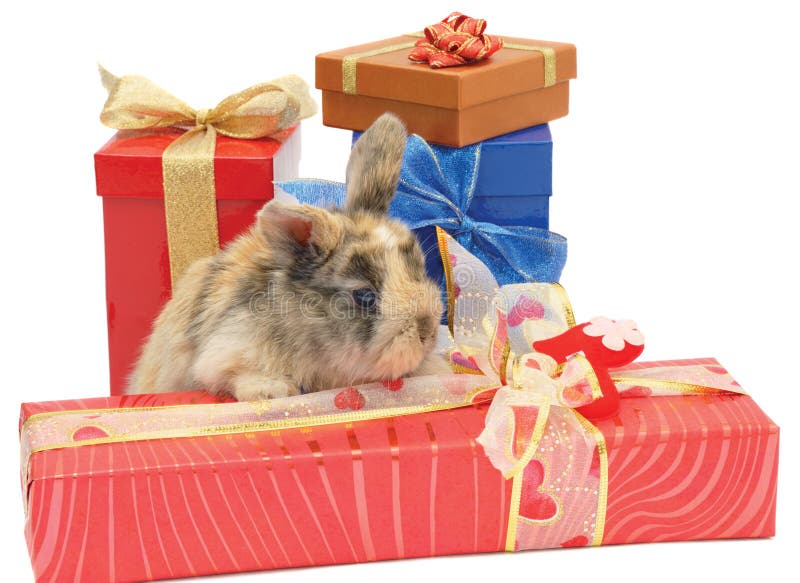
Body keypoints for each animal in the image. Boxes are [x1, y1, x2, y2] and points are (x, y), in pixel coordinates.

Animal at [127, 113, 446, 401]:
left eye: (420, 267)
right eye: (365, 296)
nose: (427, 331)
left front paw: (435, 369)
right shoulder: (226, 351)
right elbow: (233, 374)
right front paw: (272, 390)